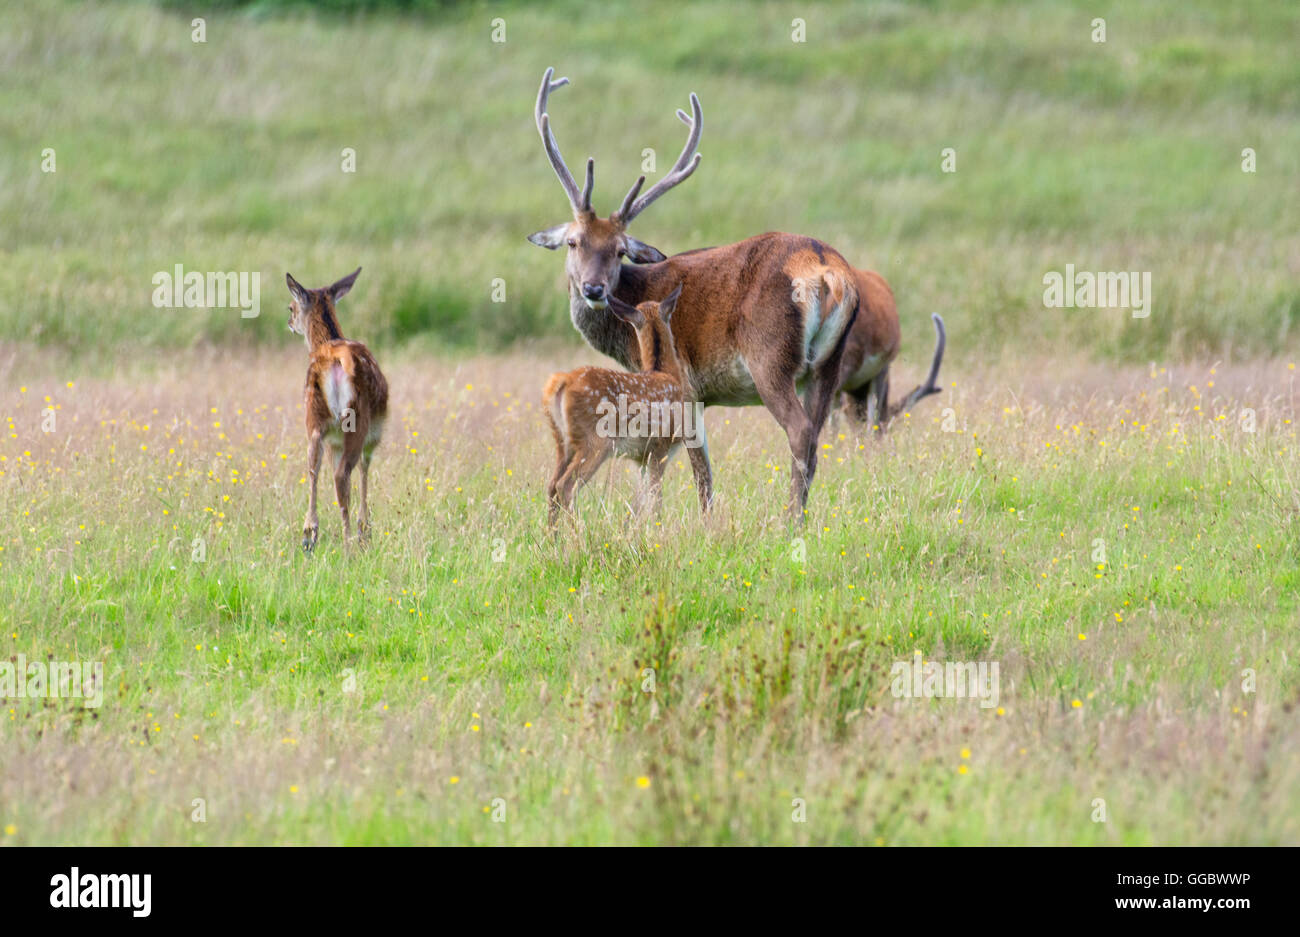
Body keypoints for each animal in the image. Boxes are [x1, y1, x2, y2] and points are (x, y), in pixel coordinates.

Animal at [285, 267, 388, 553]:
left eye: (290, 307)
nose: (289, 322)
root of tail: (337, 359)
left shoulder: (331, 438)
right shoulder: (373, 436)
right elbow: (365, 468)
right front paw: (365, 529)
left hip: (314, 418)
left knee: (313, 467)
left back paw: (309, 534)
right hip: (356, 422)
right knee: (342, 475)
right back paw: (349, 544)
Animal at [543, 285, 712, 525]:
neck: (666, 373)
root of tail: (562, 382)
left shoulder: (640, 458)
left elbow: (640, 502)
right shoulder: (660, 447)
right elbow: (655, 500)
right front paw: (657, 529)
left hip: (562, 442)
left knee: (551, 486)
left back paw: (552, 535)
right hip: (596, 442)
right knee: (565, 486)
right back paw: (577, 533)